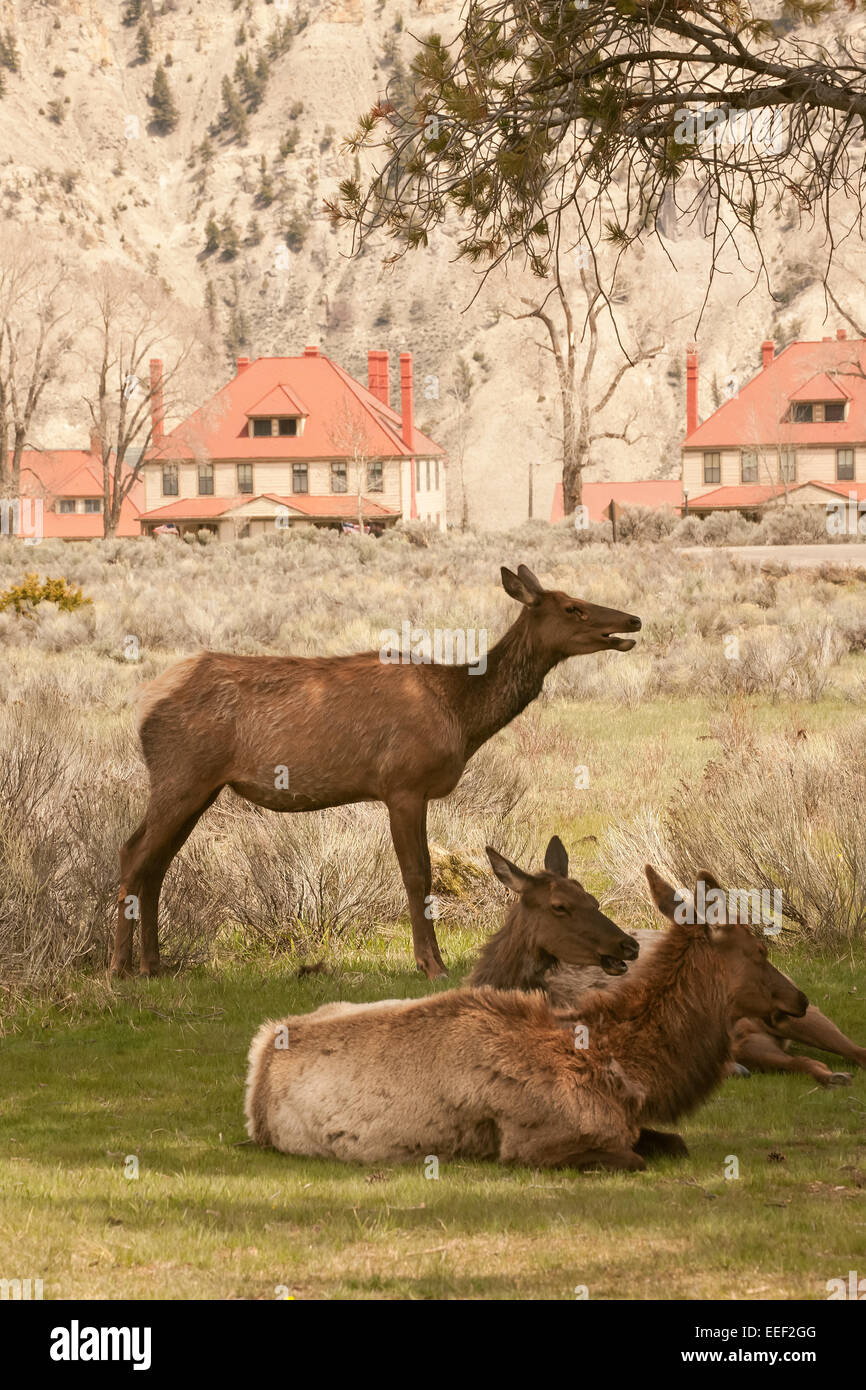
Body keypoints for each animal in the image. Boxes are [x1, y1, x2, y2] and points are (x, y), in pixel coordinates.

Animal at [111, 564, 641, 980]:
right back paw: (120, 967)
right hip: (180, 774)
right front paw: (432, 964)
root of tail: (145, 702)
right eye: (572, 608)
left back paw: (154, 964)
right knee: (133, 853)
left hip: (201, 786)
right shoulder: (403, 784)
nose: (632, 619)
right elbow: (417, 874)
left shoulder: (411, 791)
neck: (461, 714)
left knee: (158, 863)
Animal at [244, 866, 808, 1171]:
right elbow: (637, 1157)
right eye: (759, 949)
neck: (628, 1070)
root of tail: (259, 1057)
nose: (800, 998)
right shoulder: (536, 1143)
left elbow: (678, 1143)